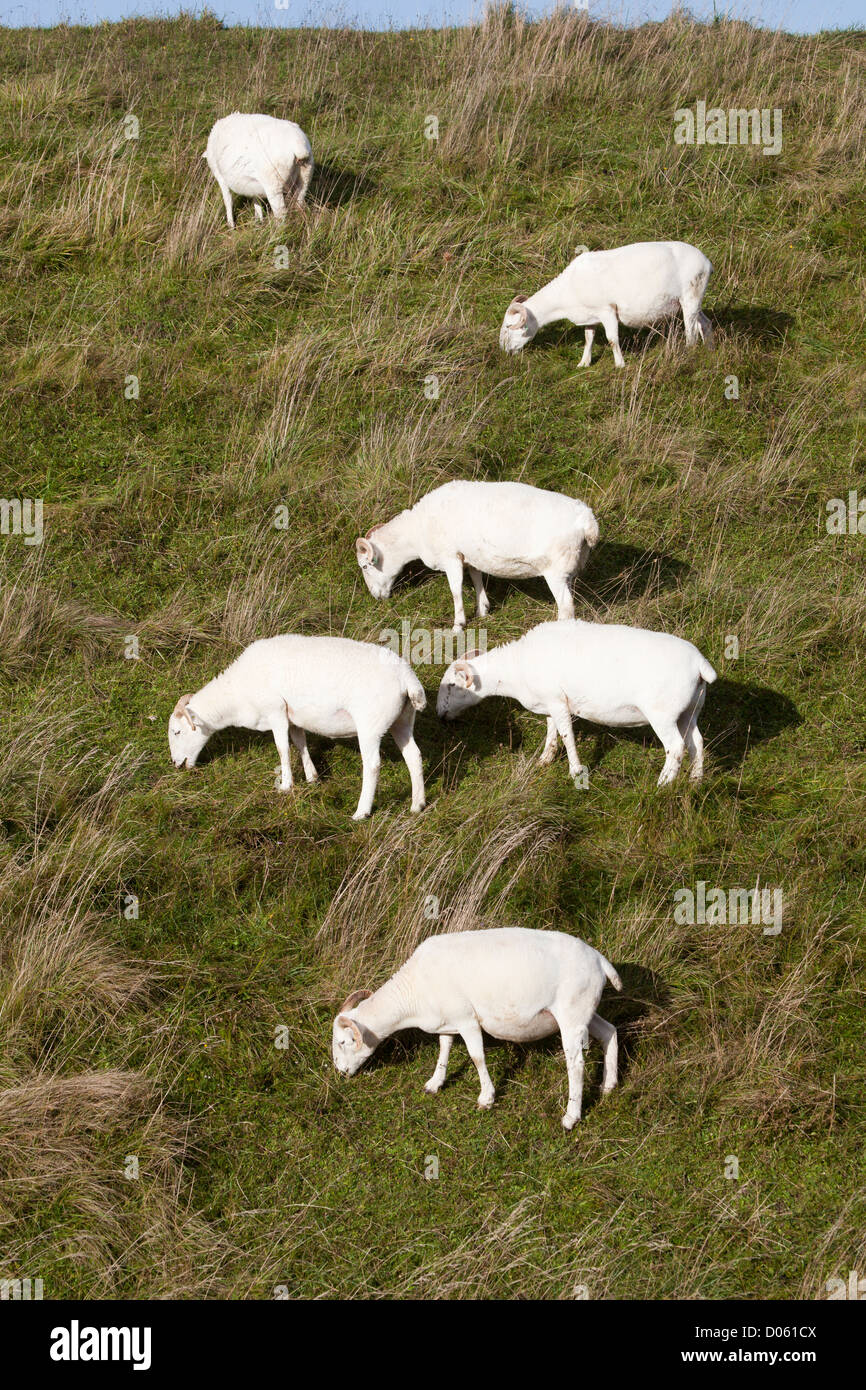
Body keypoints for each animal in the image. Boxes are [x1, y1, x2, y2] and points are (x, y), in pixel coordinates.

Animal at [168, 634, 426, 820]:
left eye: (177, 732)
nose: (176, 764)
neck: (237, 695)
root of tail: (407, 678)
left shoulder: (275, 711)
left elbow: (282, 748)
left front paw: (285, 785)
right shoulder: (292, 716)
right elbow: (299, 742)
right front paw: (312, 777)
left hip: (370, 723)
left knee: (372, 765)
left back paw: (361, 812)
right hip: (402, 719)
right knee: (414, 756)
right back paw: (417, 805)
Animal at [332, 928, 621, 1128]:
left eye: (343, 1042)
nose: (341, 1072)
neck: (413, 994)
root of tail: (600, 960)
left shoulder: (467, 1019)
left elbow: (477, 1057)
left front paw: (486, 1098)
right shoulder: (448, 1019)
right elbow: (444, 1048)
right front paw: (435, 1083)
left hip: (571, 1015)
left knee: (576, 1065)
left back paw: (571, 1117)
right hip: (583, 1011)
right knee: (609, 1031)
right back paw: (609, 1085)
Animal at [356, 480, 600, 634]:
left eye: (365, 566)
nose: (376, 597)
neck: (416, 532)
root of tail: (587, 521)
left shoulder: (451, 556)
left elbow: (455, 590)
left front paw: (458, 625)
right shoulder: (471, 555)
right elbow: (476, 577)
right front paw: (483, 609)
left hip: (555, 570)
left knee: (566, 607)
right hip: (571, 568)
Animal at [437, 619, 717, 787]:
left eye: (451, 685)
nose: (439, 715)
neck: (514, 669)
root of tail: (700, 665)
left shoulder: (559, 702)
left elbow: (566, 734)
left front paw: (575, 772)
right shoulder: (550, 701)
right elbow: (552, 730)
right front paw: (545, 759)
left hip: (662, 713)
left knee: (676, 747)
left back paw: (664, 783)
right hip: (691, 709)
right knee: (697, 743)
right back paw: (695, 781)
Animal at [499, 240, 714, 367]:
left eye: (509, 328)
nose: (504, 351)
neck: (567, 292)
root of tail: (707, 262)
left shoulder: (607, 311)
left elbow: (612, 339)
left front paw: (620, 365)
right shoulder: (590, 315)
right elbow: (588, 338)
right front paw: (583, 363)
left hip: (690, 296)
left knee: (691, 331)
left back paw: (689, 352)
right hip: (693, 300)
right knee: (705, 323)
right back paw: (708, 349)